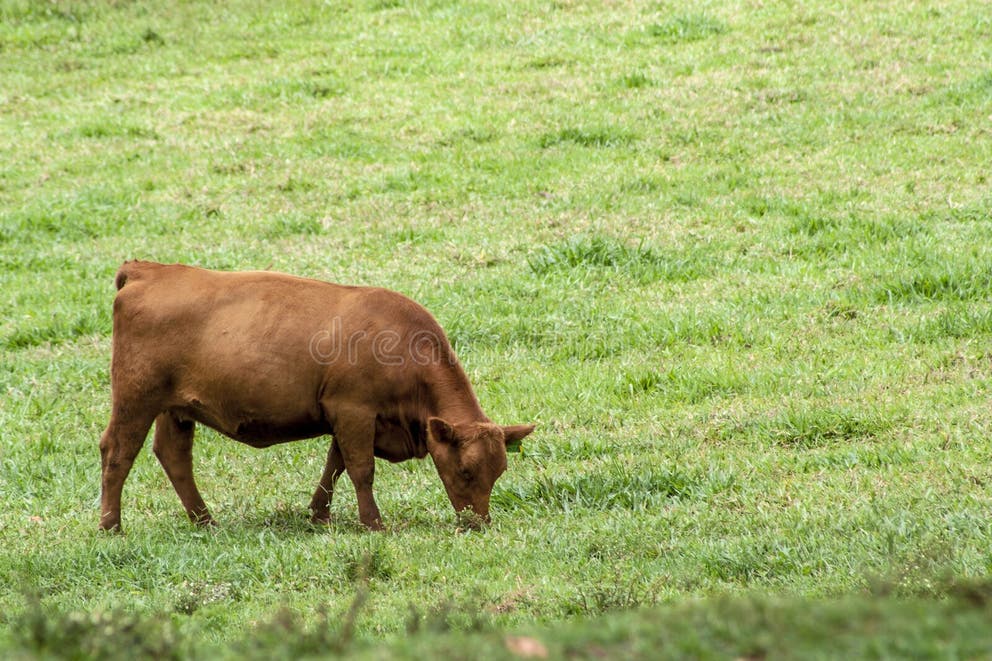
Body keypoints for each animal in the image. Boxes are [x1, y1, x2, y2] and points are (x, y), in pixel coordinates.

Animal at [98, 261, 534, 532]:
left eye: (499, 472)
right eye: (466, 471)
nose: (479, 523)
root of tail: (148, 270)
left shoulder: (348, 417)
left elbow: (334, 465)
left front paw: (319, 514)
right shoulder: (354, 410)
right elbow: (360, 469)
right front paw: (373, 524)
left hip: (175, 410)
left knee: (174, 457)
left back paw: (205, 521)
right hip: (135, 401)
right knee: (117, 452)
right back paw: (111, 525)